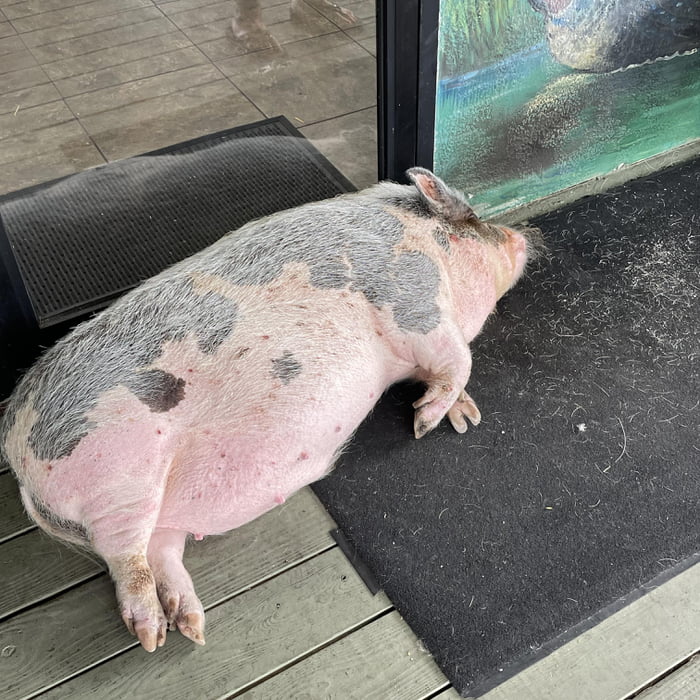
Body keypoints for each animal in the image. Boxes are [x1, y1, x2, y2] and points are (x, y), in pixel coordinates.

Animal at [0, 168, 538, 652]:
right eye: (473, 217)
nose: (520, 235)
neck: (432, 246)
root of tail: (16, 453)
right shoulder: (413, 302)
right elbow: (461, 358)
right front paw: (424, 425)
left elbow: (447, 371)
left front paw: (465, 421)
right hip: (116, 477)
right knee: (124, 559)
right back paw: (152, 635)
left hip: (155, 504)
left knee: (160, 551)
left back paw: (192, 629)